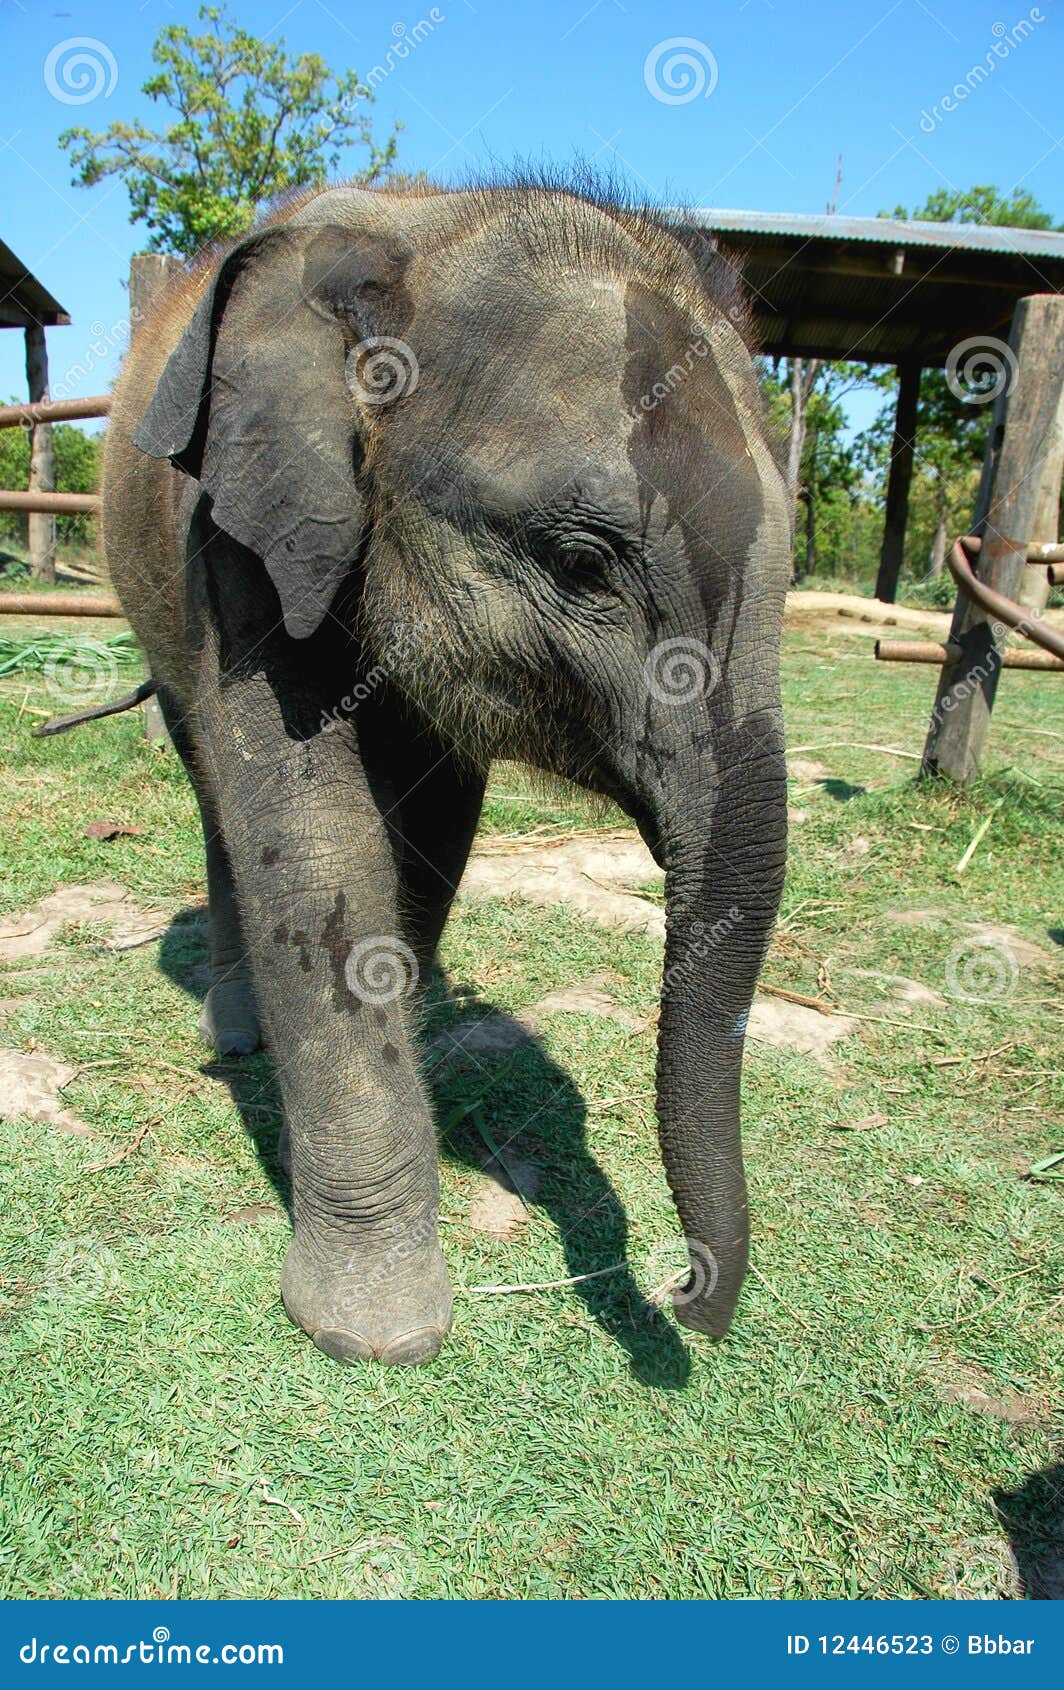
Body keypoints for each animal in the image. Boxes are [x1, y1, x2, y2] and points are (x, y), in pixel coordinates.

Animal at [103, 178, 790, 1367]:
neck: (429, 235)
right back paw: (234, 1038)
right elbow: (312, 844)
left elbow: (424, 826)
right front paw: (374, 1336)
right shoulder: (238, 533)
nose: (684, 1297)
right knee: (211, 794)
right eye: (579, 564)